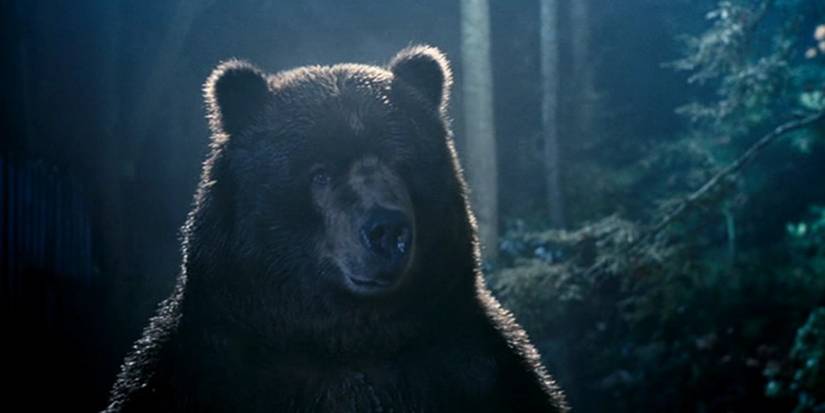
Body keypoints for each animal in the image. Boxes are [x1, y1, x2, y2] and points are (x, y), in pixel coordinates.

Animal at [103, 45, 568, 413]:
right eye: (320, 173)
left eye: (403, 165)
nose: (387, 230)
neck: (344, 343)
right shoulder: (203, 365)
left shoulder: (476, 368)